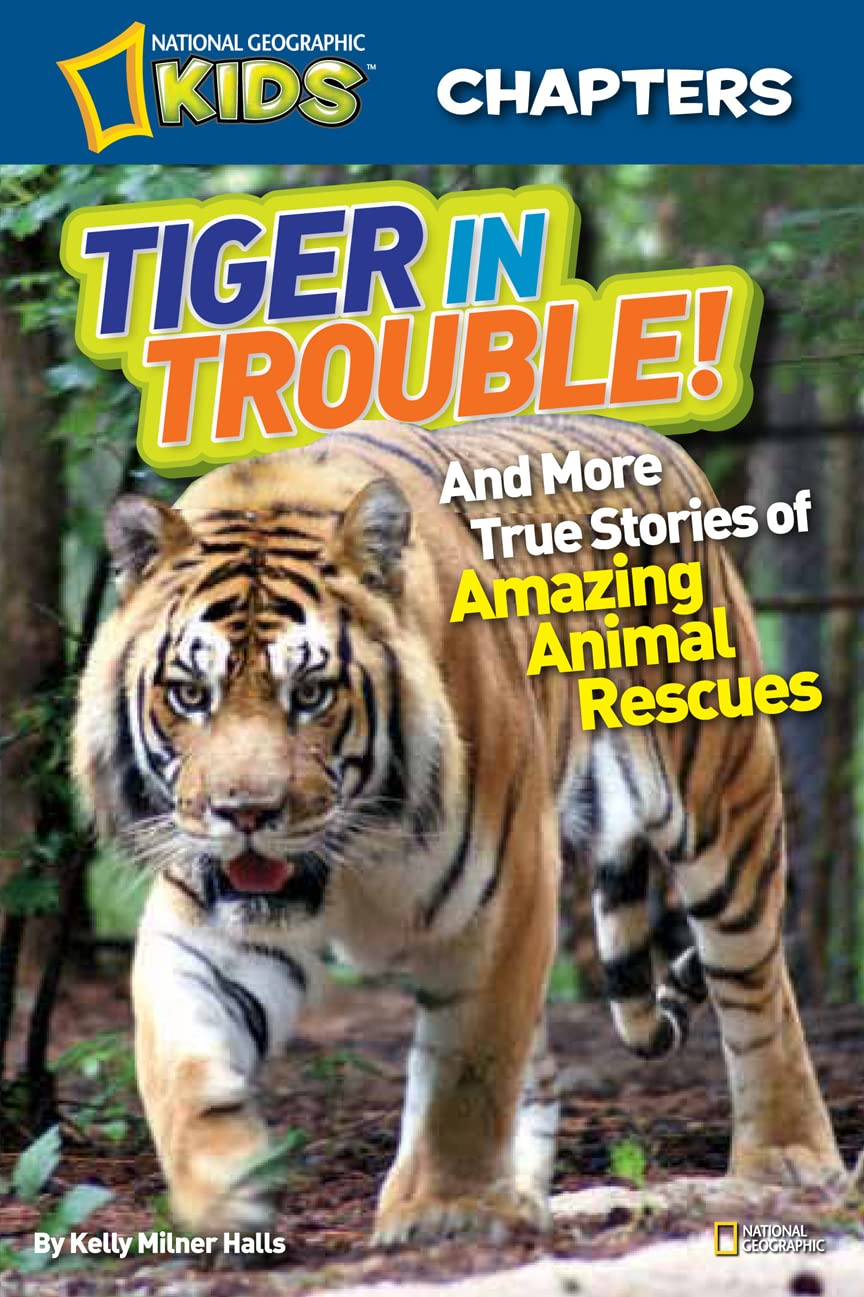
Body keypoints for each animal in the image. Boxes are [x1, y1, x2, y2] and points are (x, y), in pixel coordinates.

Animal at [72, 413, 842, 1244]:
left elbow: (467, 1071)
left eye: (310, 693)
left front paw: (442, 1208)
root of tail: (654, 440)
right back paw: (528, 1196)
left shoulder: (506, 894)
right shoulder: (203, 917)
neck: (350, 858)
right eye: (191, 693)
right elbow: (176, 1058)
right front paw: (224, 1185)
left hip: (724, 800)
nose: (245, 814)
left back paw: (787, 1160)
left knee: (757, 989)